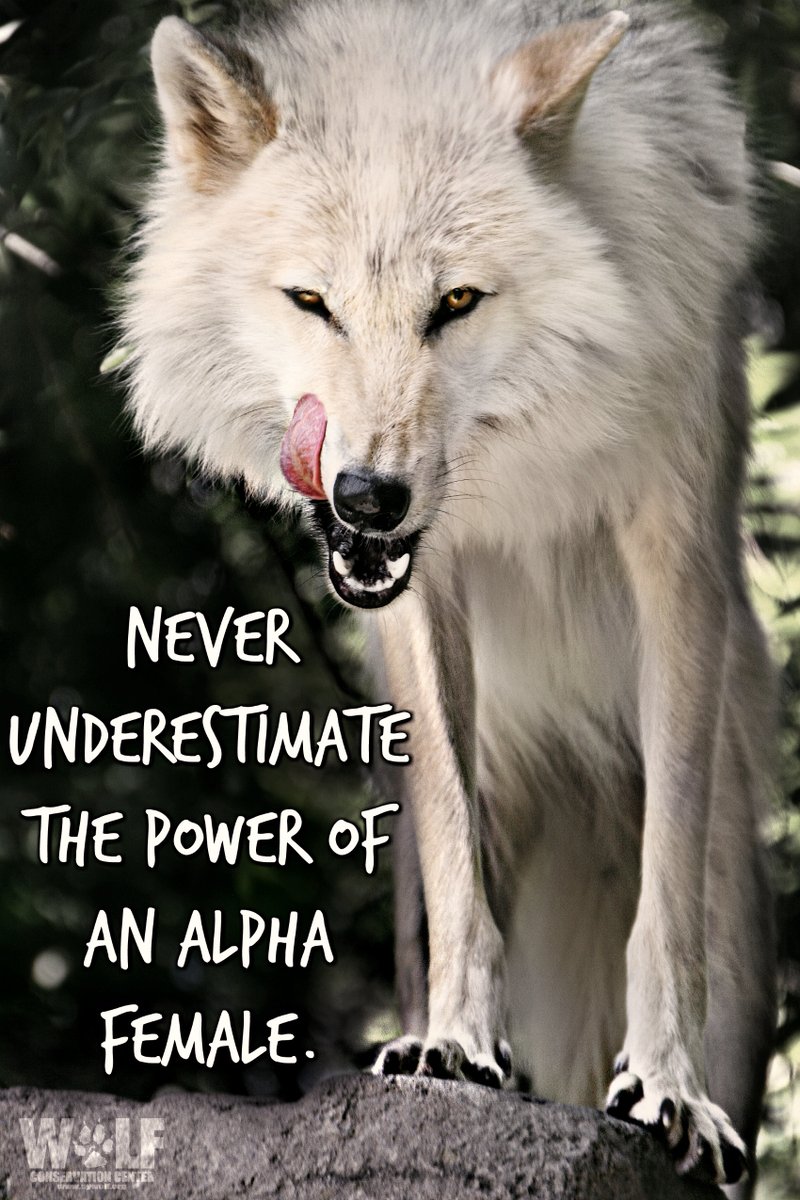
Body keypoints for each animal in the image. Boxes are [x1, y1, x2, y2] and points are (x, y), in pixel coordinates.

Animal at [122, 0, 777, 1191]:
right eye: (312, 301)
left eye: (457, 301)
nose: (366, 496)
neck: (526, 475)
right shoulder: (425, 593)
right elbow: (453, 847)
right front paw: (456, 1047)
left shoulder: (676, 556)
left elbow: (662, 899)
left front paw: (667, 1088)